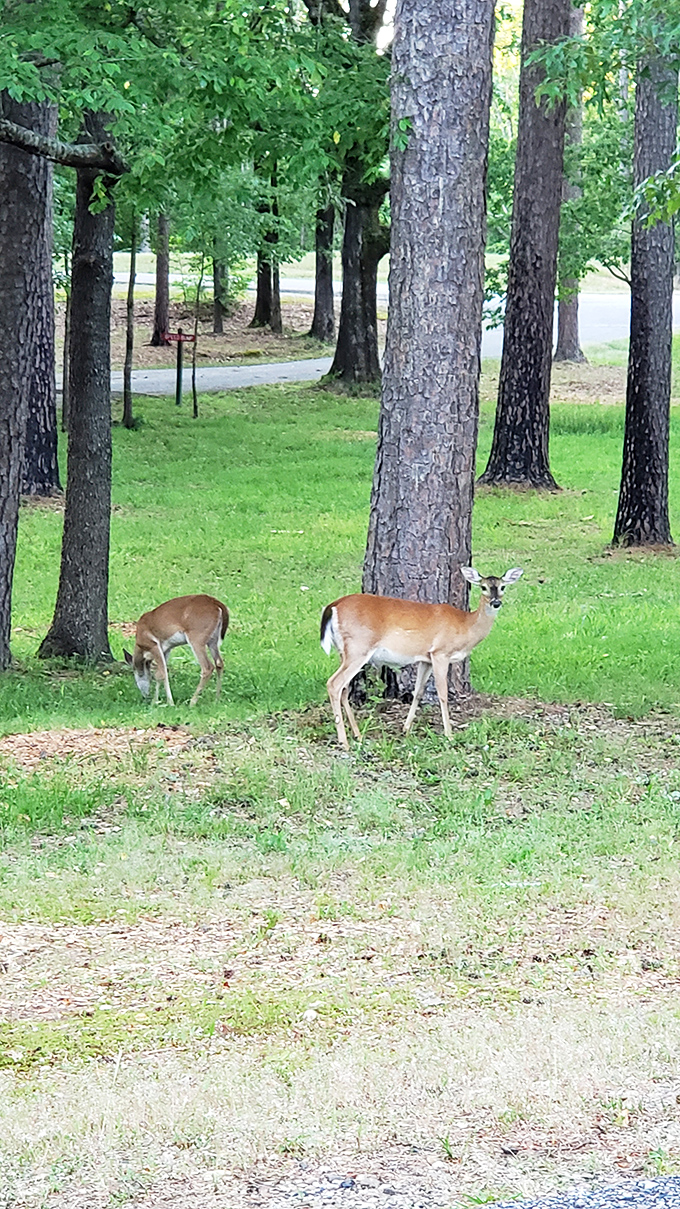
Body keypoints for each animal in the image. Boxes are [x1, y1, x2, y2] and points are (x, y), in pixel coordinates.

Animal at [320, 566, 523, 749]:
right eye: (483, 587)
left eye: (502, 587)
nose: (496, 602)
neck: (465, 625)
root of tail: (333, 607)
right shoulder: (440, 652)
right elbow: (442, 693)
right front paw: (449, 734)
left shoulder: (425, 659)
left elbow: (418, 692)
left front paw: (406, 729)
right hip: (358, 648)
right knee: (334, 684)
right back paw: (344, 742)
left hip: (345, 652)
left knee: (344, 689)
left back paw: (358, 735)